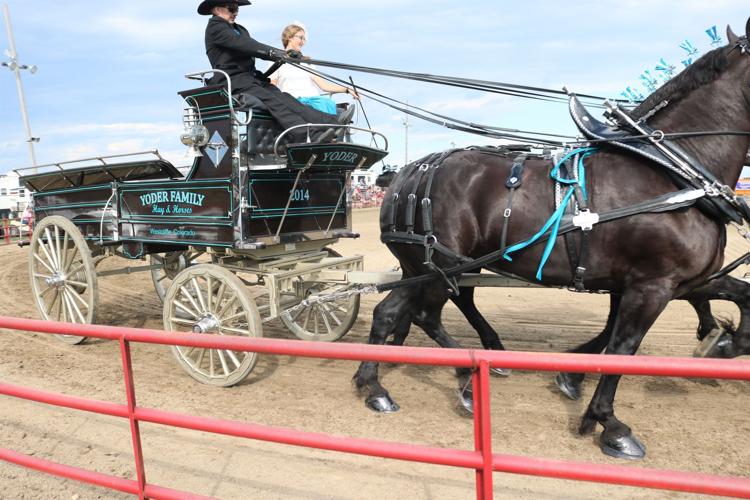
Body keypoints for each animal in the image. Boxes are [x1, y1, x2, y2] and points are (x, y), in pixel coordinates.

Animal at [354, 21, 750, 460]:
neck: (672, 172)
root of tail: (406, 173)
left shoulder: (653, 282)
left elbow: (620, 334)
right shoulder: (653, 285)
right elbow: (623, 347)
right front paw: (610, 425)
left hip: (424, 266)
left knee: (391, 312)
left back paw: (376, 382)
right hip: (440, 266)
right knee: (425, 313)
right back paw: (461, 376)